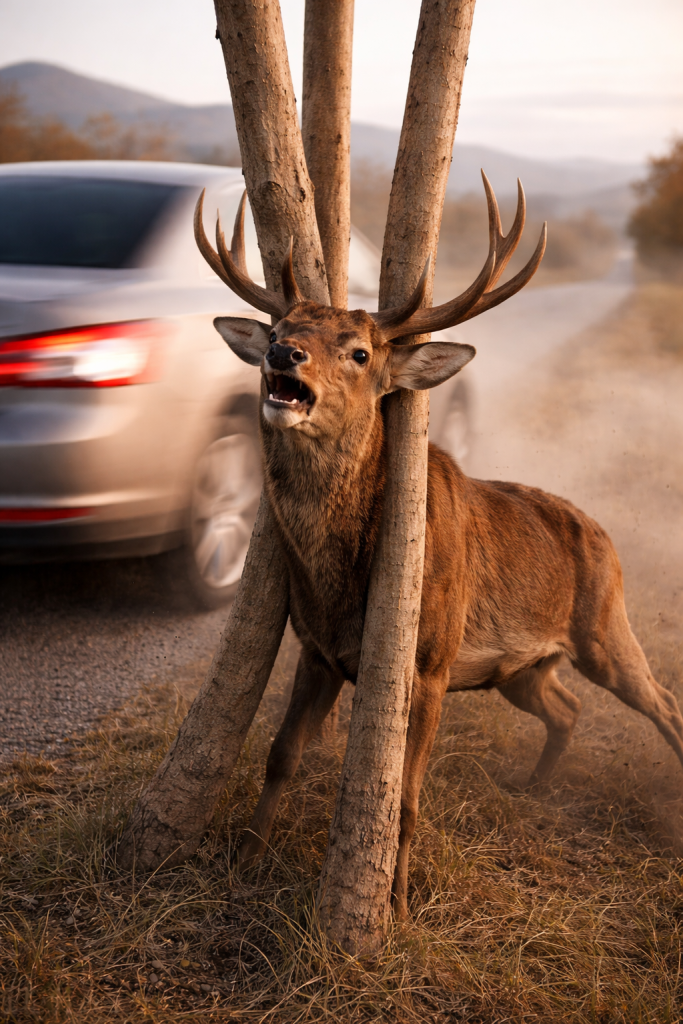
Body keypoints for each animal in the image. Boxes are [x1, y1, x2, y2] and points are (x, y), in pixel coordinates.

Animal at [195, 176, 683, 920]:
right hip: (520, 669)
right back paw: (533, 787)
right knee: (566, 707)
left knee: (663, 701)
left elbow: (404, 797)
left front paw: (394, 907)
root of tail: (601, 532)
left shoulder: (426, 658)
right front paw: (245, 855)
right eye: (278, 331)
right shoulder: (317, 649)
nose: (283, 355)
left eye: (360, 353)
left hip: (603, 622)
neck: (342, 583)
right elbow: (280, 753)